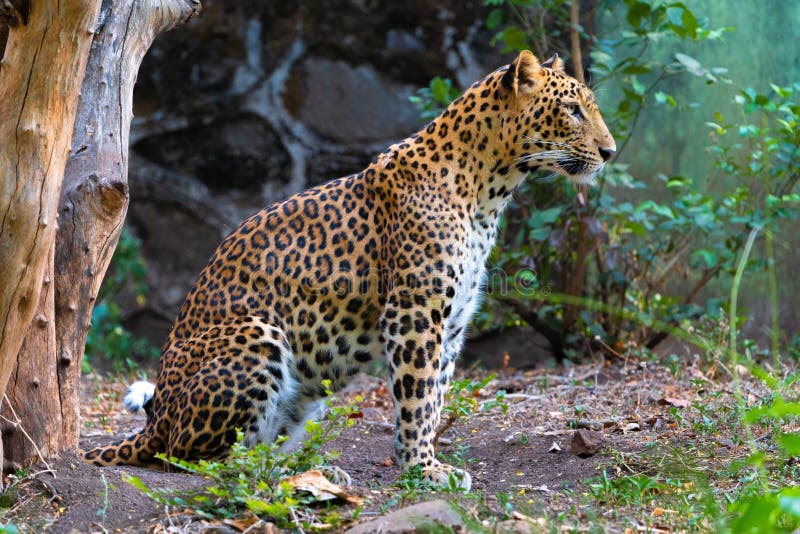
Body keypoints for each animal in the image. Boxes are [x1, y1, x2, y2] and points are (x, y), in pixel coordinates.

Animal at [84, 50, 615, 490]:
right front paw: (424, 469)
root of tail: (155, 421)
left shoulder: (453, 322)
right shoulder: (414, 313)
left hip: (303, 385)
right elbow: (417, 397)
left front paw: (422, 462)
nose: (610, 152)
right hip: (256, 334)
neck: (491, 191)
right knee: (195, 457)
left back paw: (313, 470)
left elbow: (435, 396)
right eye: (573, 110)